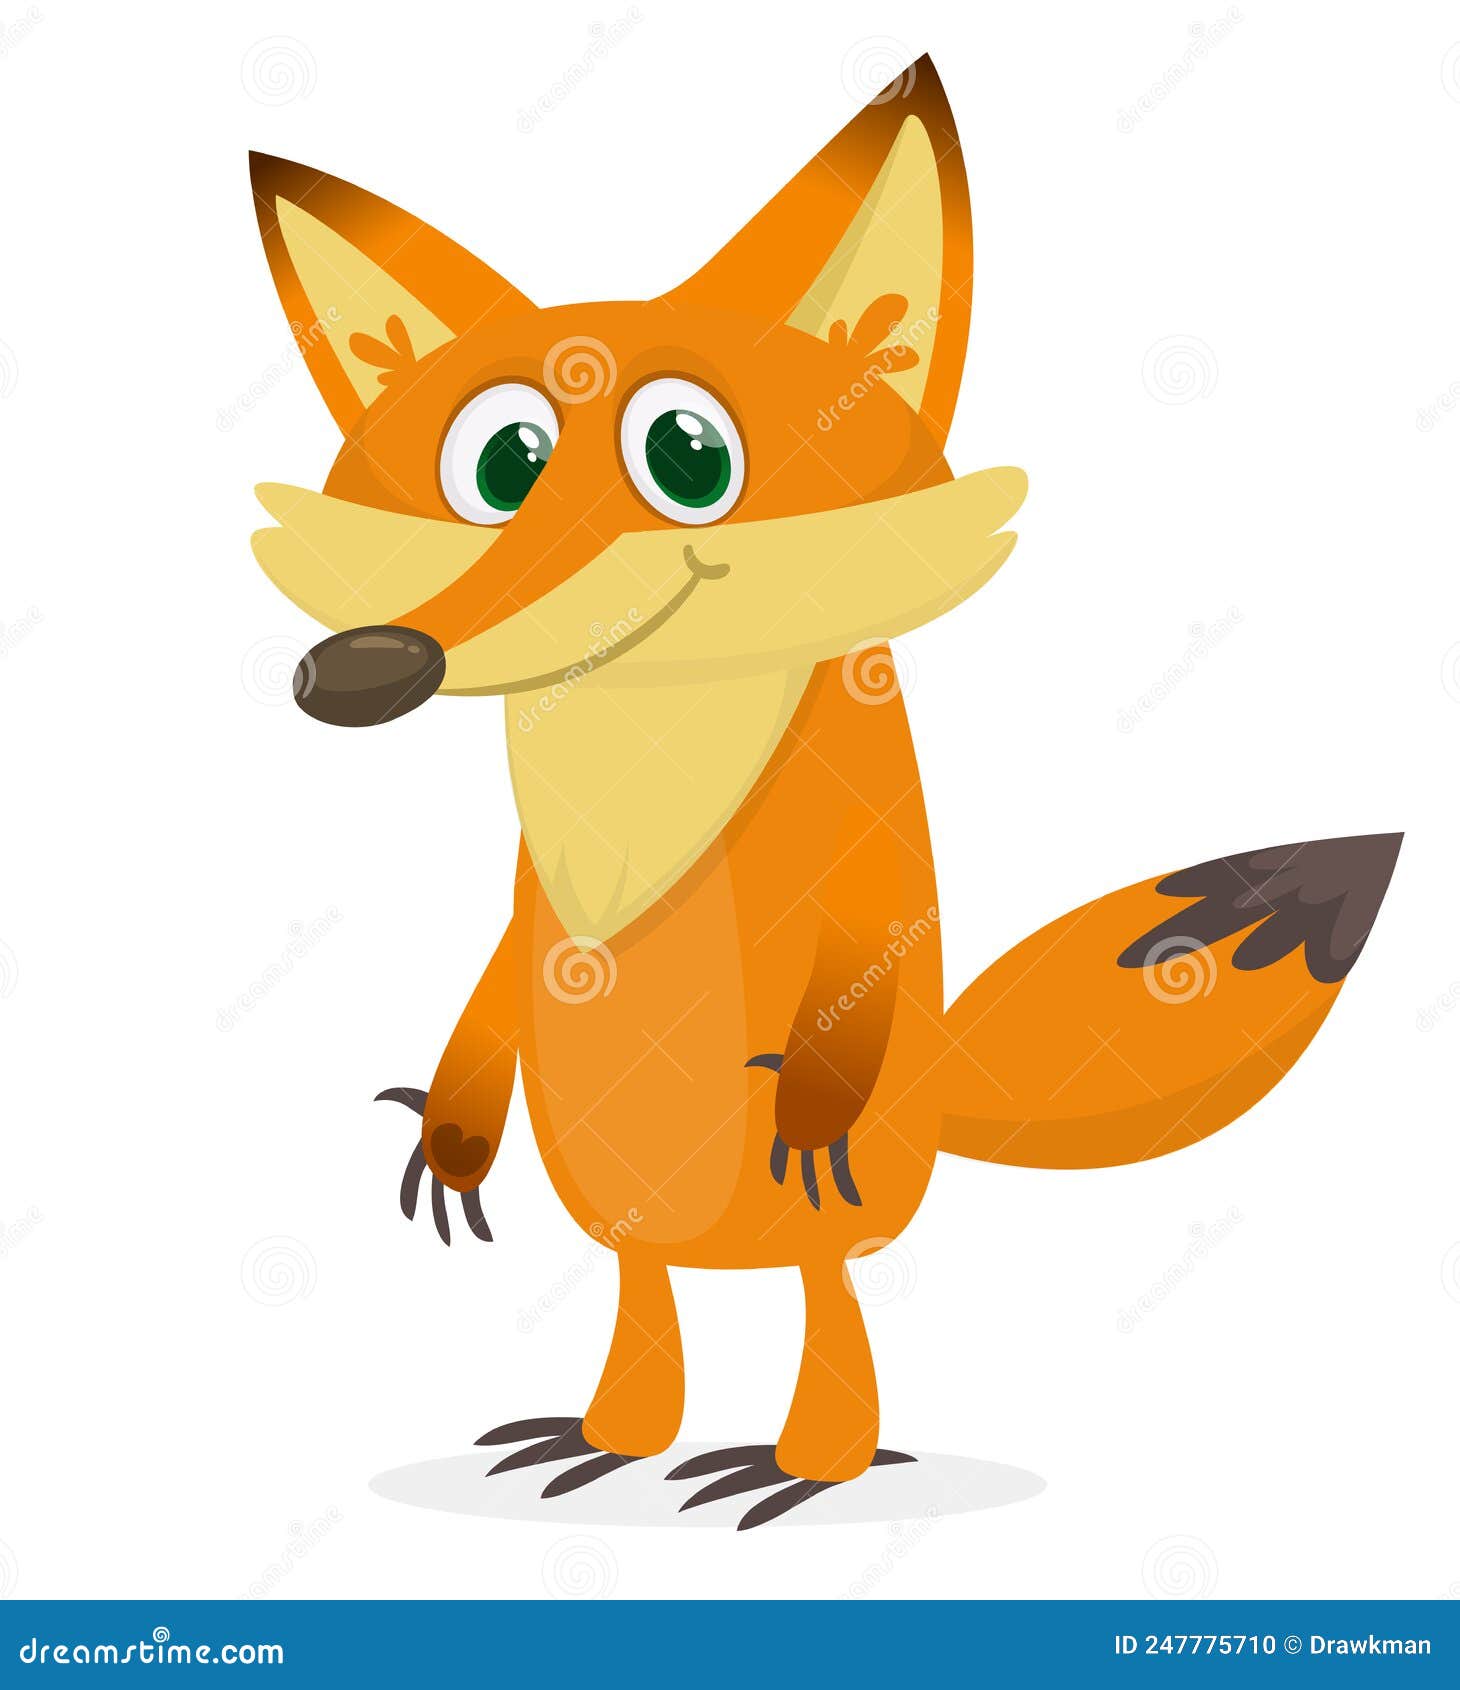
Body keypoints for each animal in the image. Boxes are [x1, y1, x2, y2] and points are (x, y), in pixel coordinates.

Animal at [247, 55, 1400, 1528]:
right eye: (498, 468)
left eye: (688, 456)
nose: (357, 669)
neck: (638, 777)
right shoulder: (526, 907)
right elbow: (498, 981)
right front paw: (452, 1136)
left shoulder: (852, 873)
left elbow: (855, 972)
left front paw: (808, 1100)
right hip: (617, 1205)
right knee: (643, 1289)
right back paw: (607, 1437)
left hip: (834, 1212)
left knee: (825, 1294)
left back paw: (798, 1463)